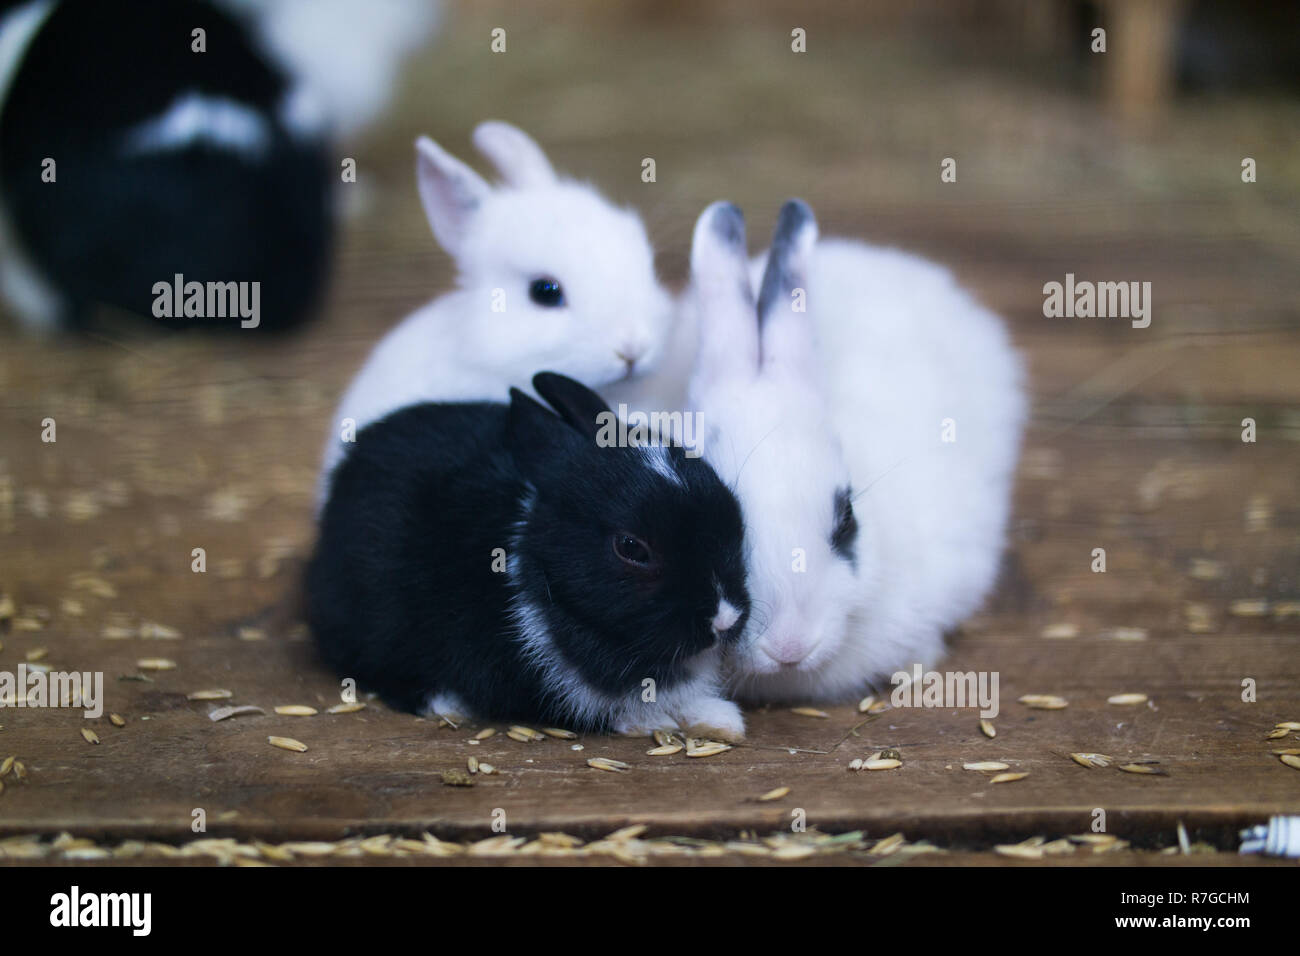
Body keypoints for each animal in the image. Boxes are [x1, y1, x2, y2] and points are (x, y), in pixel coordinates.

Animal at [308, 370, 752, 740]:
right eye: (631, 548)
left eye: (731, 505)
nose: (724, 618)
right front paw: (655, 722)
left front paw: (721, 720)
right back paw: (446, 703)